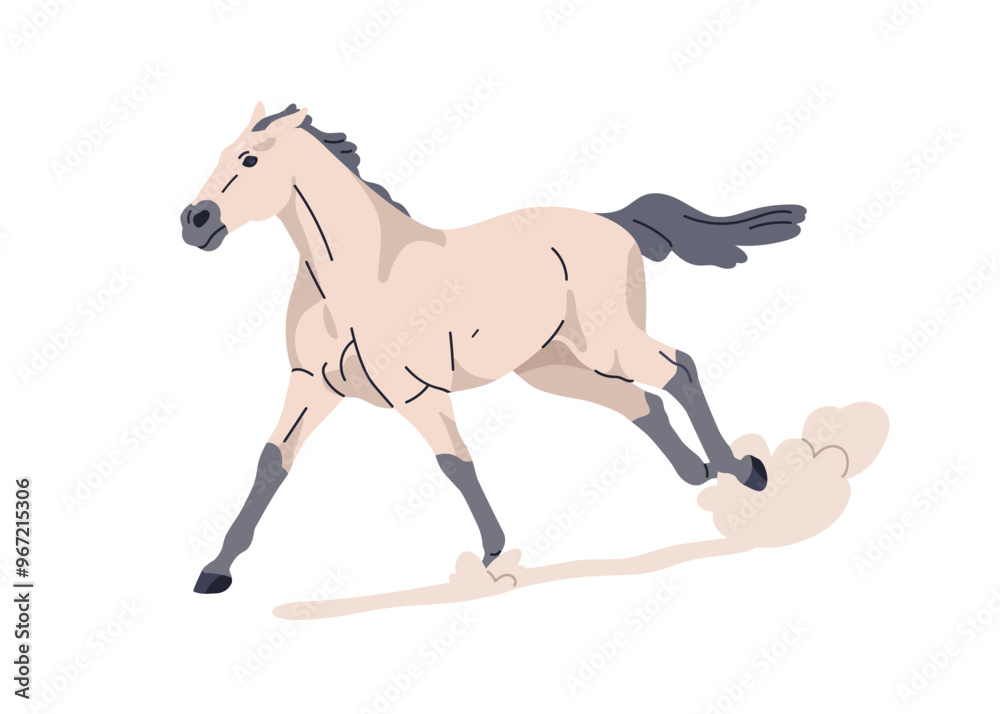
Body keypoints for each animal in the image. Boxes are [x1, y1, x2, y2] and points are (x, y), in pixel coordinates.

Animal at [180, 102, 806, 595]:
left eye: (249, 160)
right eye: (224, 153)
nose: (195, 222)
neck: (359, 279)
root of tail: (613, 221)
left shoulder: (415, 390)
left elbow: (454, 461)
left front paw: (494, 553)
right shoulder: (311, 385)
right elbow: (272, 462)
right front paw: (215, 570)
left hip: (605, 343)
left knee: (679, 368)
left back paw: (741, 469)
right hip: (554, 365)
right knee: (640, 401)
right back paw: (697, 472)